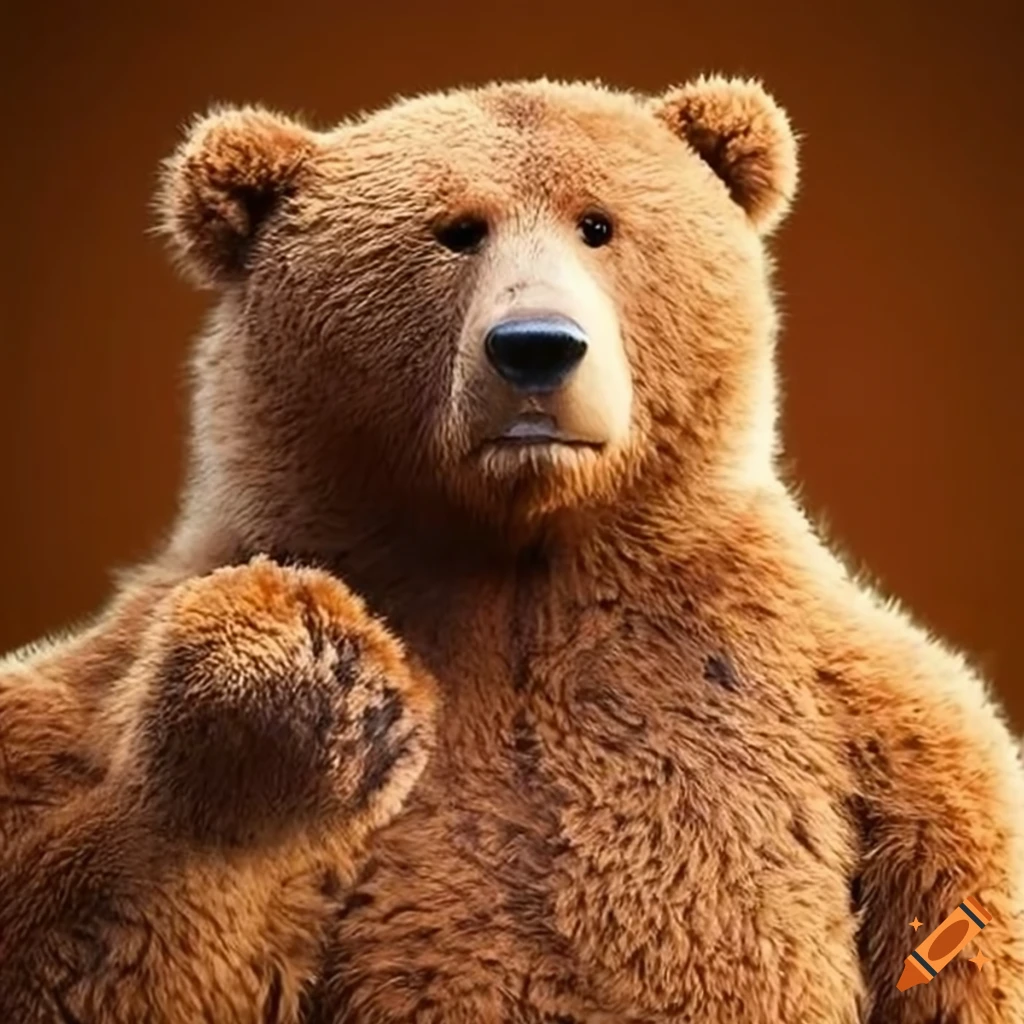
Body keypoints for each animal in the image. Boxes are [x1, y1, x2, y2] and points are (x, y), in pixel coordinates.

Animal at [0, 73, 1022, 1024]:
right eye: (457, 231)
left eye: (598, 225)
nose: (537, 346)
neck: (520, 561)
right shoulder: (101, 684)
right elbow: (87, 931)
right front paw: (304, 686)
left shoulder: (861, 713)